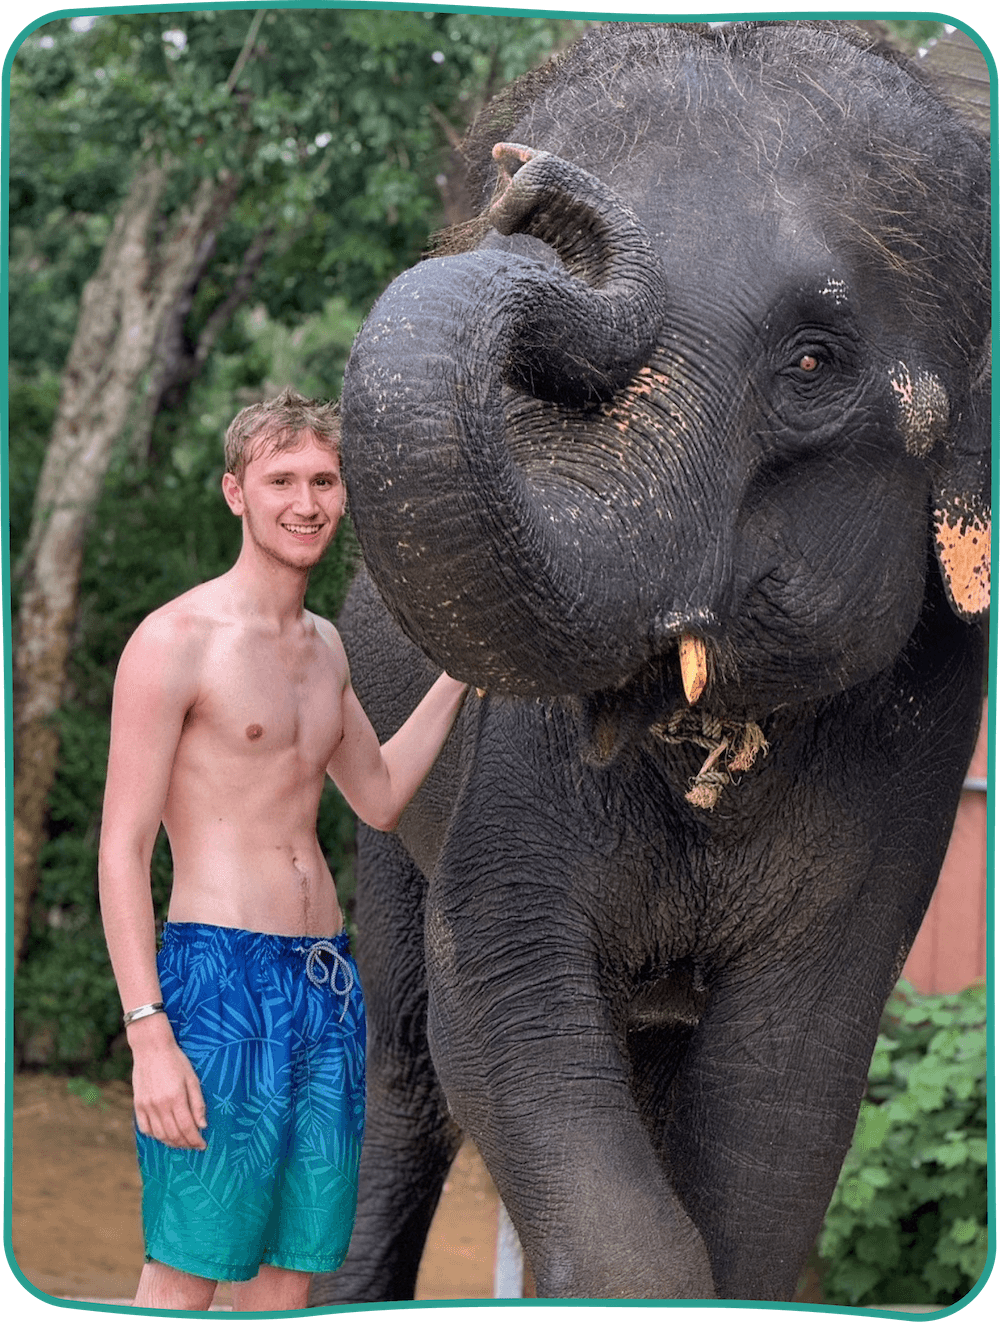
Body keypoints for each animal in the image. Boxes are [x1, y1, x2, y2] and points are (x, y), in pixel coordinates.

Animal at [311, 21, 990, 1303]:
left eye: (814, 360)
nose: (529, 180)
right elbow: (497, 1010)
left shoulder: (922, 739)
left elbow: (783, 1096)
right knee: (408, 1064)